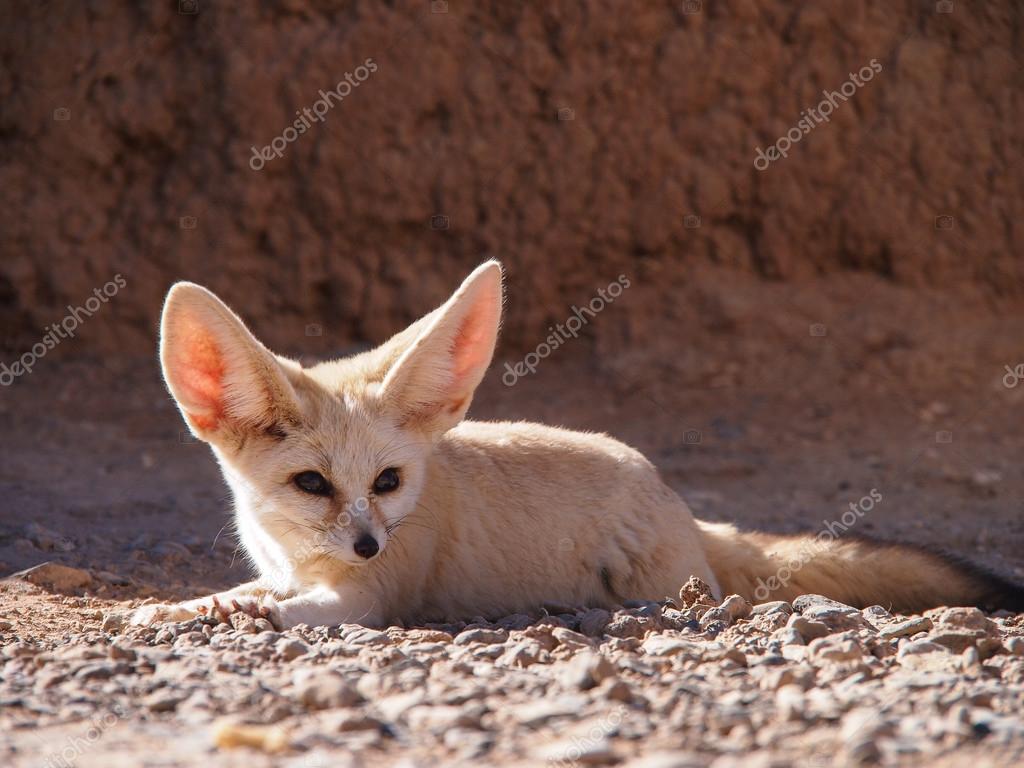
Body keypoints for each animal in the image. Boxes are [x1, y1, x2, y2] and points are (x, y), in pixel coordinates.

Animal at [132, 261, 1024, 629]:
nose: (367, 544)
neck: (299, 555)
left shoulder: (372, 598)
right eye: (312, 484)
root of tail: (679, 502)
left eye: (387, 482)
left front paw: (232, 609)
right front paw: (198, 602)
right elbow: (249, 591)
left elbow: (297, 609)